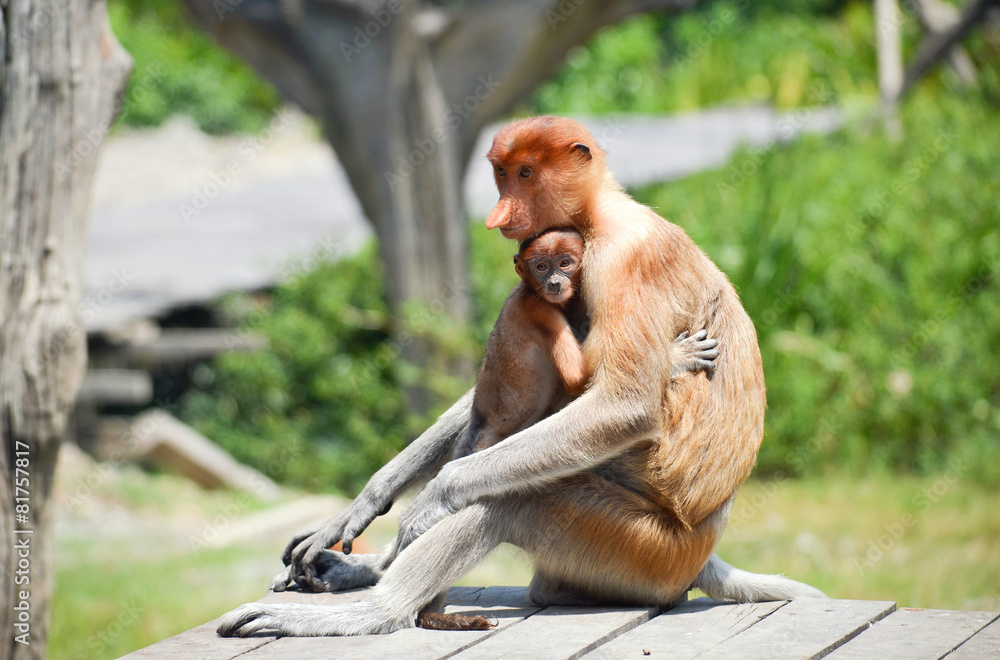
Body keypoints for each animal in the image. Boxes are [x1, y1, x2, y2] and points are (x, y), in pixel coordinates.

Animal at [218, 116, 826, 638]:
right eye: (502, 173)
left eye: (526, 173)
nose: (498, 214)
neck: (601, 212)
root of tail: (697, 553)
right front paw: (362, 506)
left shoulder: (623, 260)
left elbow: (622, 405)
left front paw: (430, 500)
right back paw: (363, 573)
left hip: (639, 547)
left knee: (512, 499)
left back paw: (375, 608)